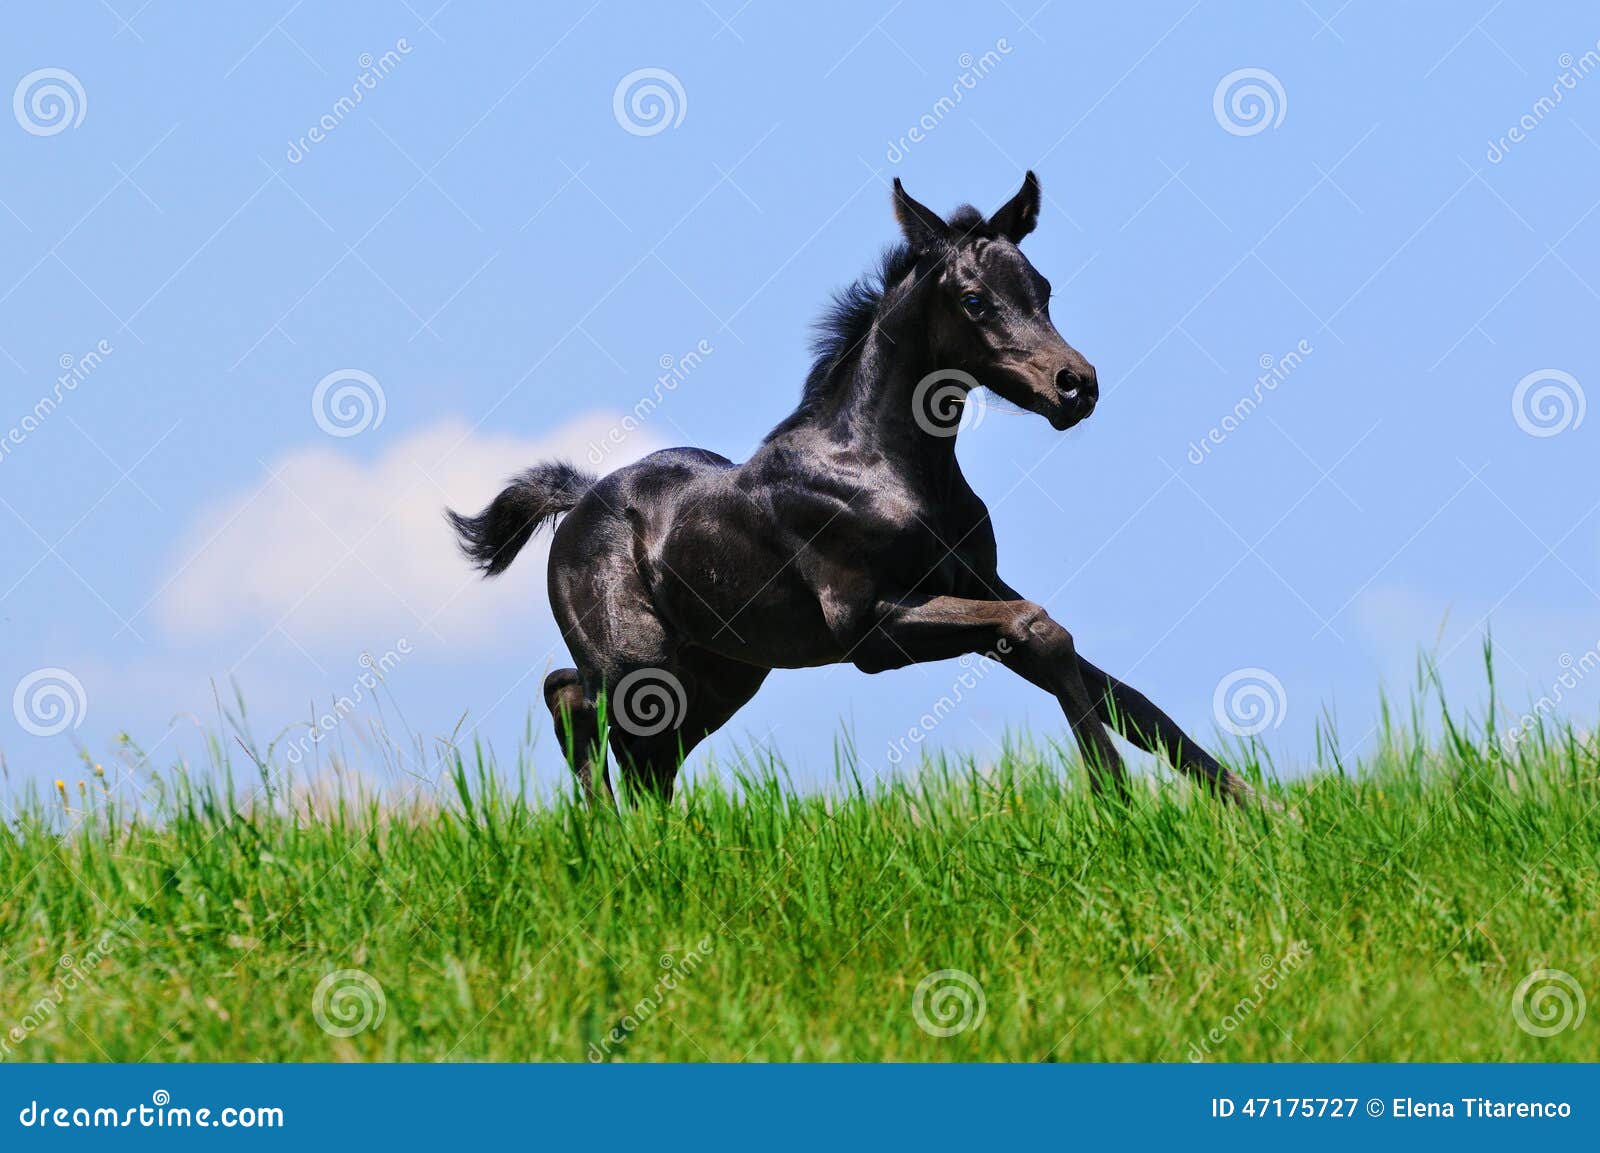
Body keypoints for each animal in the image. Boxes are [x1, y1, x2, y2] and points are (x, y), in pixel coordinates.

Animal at [448, 171, 1255, 807]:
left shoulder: (974, 590)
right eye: (973, 300)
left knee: (649, 763)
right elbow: (1041, 628)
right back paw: (604, 833)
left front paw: (1258, 810)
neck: (886, 469)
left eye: (1043, 289)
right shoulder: (869, 628)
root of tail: (579, 498)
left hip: (725, 672)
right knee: (575, 698)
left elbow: (1122, 690)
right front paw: (1116, 800)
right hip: (642, 663)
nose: (1075, 386)